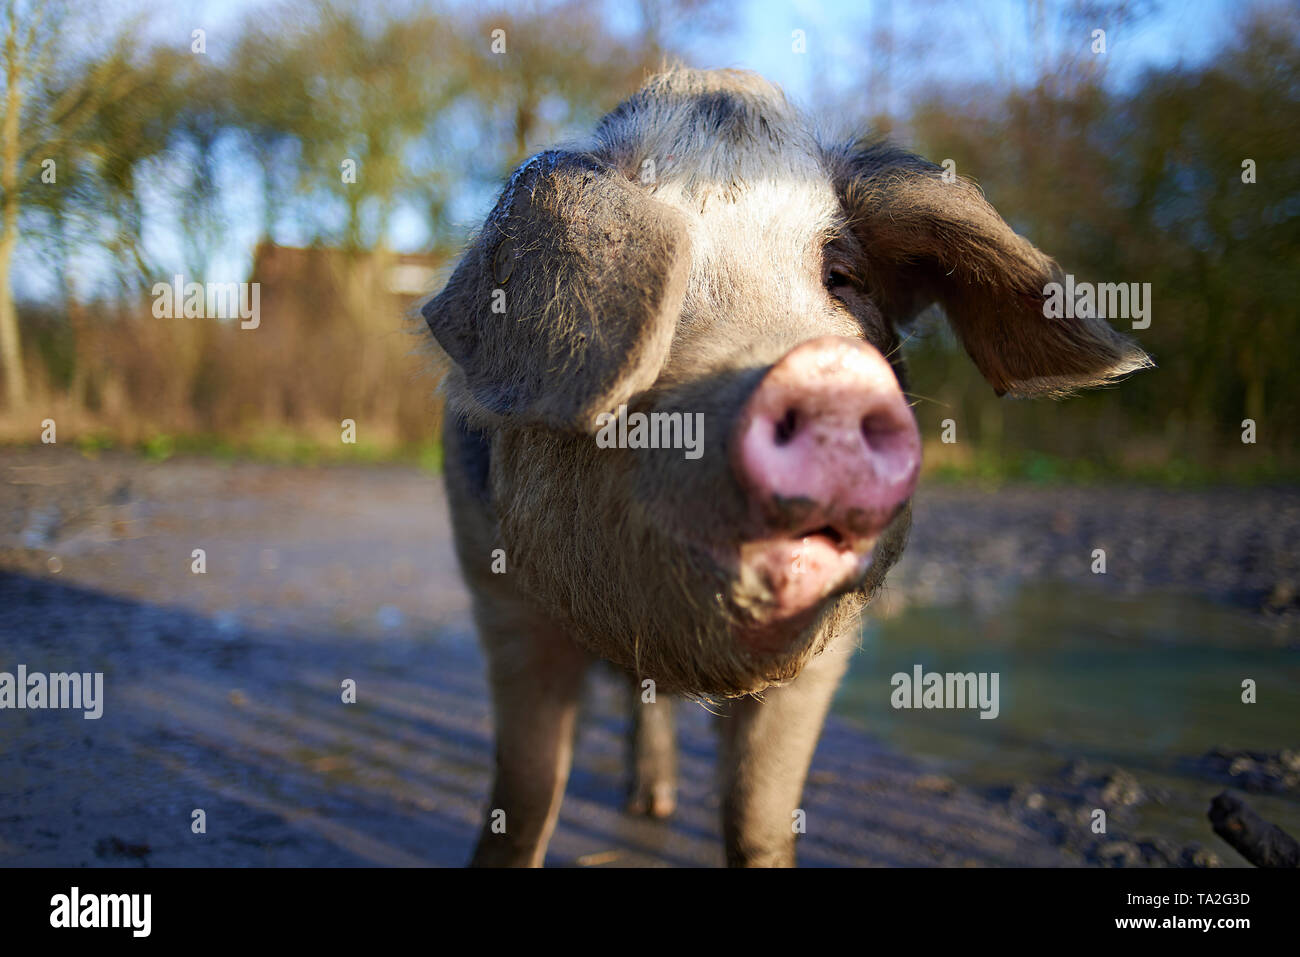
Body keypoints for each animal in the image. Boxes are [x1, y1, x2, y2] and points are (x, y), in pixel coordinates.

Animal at [420, 68, 1150, 867]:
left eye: (842, 276)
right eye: (665, 277)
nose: (827, 372)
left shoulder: (829, 648)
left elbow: (758, 814)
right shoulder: (496, 592)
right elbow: (526, 792)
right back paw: (648, 803)